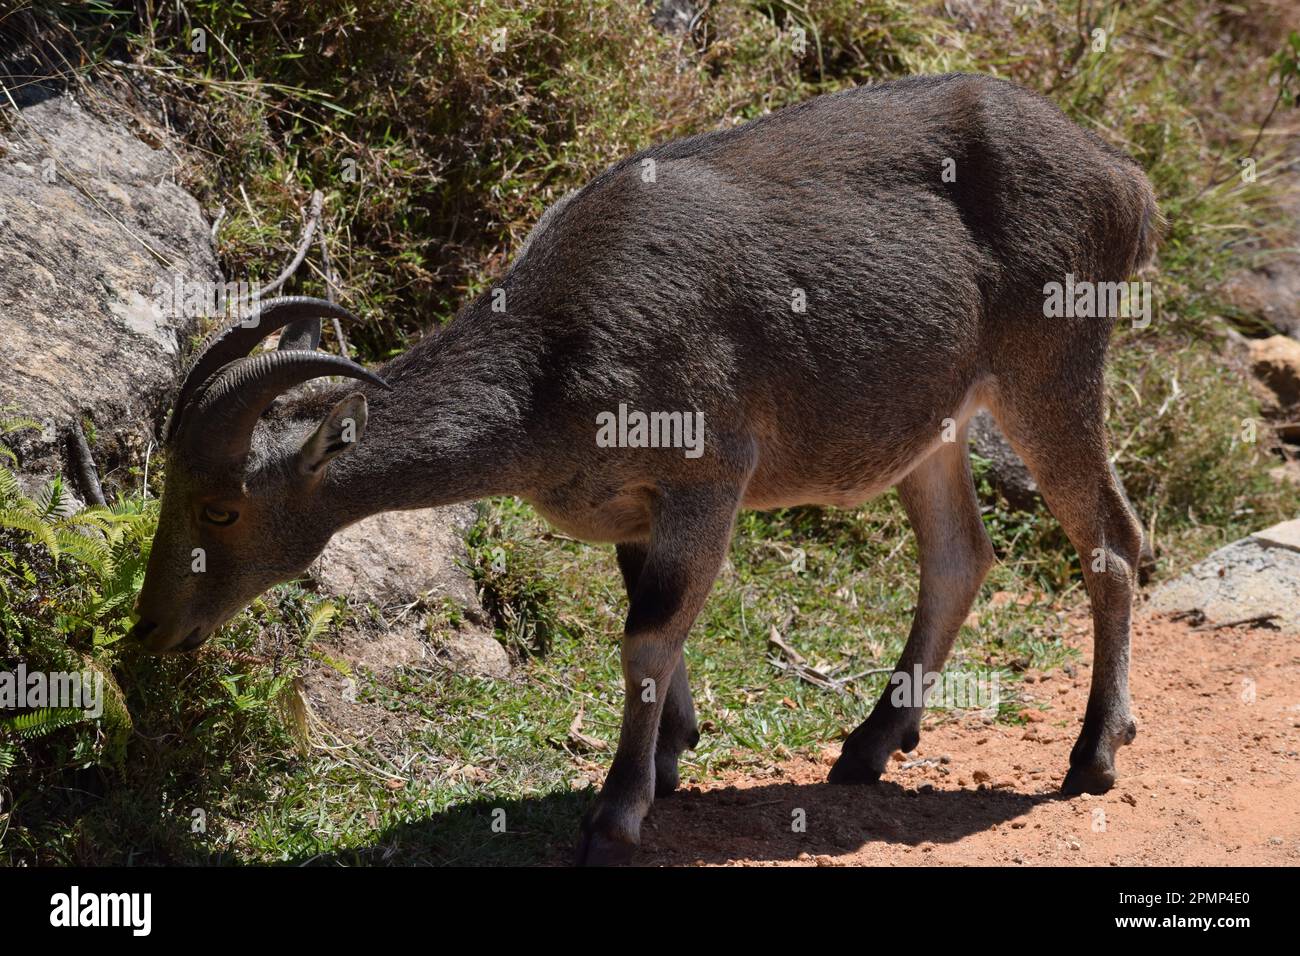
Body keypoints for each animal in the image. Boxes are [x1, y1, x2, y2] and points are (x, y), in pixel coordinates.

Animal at [132, 73, 1159, 865]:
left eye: (223, 509)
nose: (153, 629)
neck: (552, 367)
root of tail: (1127, 180)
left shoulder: (709, 473)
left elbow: (647, 636)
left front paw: (616, 811)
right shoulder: (638, 505)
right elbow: (656, 626)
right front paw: (672, 756)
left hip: (1051, 368)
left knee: (1113, 540)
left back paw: (1093, 755)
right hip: (934, 424)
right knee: (959, 556)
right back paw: (868, 745)